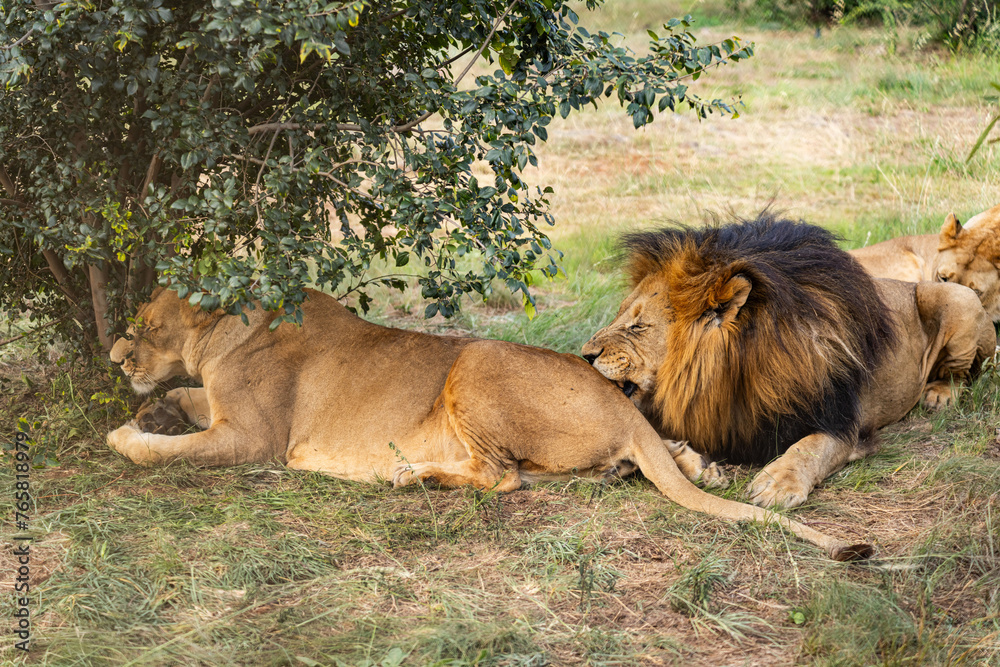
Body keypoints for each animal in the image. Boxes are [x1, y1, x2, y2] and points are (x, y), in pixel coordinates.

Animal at [106, 287, 870, 559]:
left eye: (144, 325)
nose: (115, 358)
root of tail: (620, 402)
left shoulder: (253, 439)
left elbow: (156, 450)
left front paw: (130, 429)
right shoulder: (221, 407)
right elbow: (188, 402)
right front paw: (156, 406)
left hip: (473, 359)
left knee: (501, 478)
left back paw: (410, 474)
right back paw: (689, 462)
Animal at [582, 214, 997, 509]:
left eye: (638, 326)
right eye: (620, 316)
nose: (585, 355)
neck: (733, 378)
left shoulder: (845, 422)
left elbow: (810, 447)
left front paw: (777, 483)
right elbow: (652, 434)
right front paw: (689, 462)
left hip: (954, 296)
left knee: (964, 371)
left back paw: (939, 393)